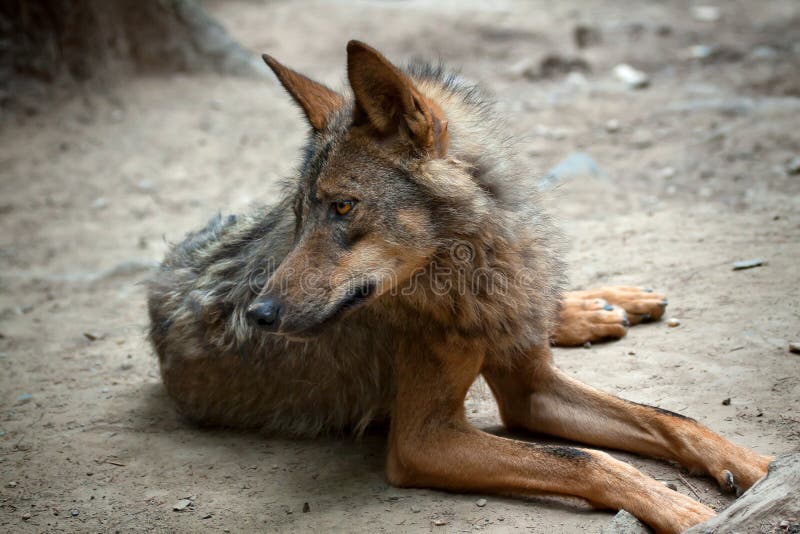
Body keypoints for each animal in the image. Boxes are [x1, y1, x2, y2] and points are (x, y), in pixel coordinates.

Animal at [147, 41, 771, 532]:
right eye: (299, 217)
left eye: (343, 207)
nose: (259, 314)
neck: (475, 278)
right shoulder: (426, 441)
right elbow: (586, 459)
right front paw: (682, 508)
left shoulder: (532, 388)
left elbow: (671, 419)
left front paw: (759, 466)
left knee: (548, 310)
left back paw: (604, 305)